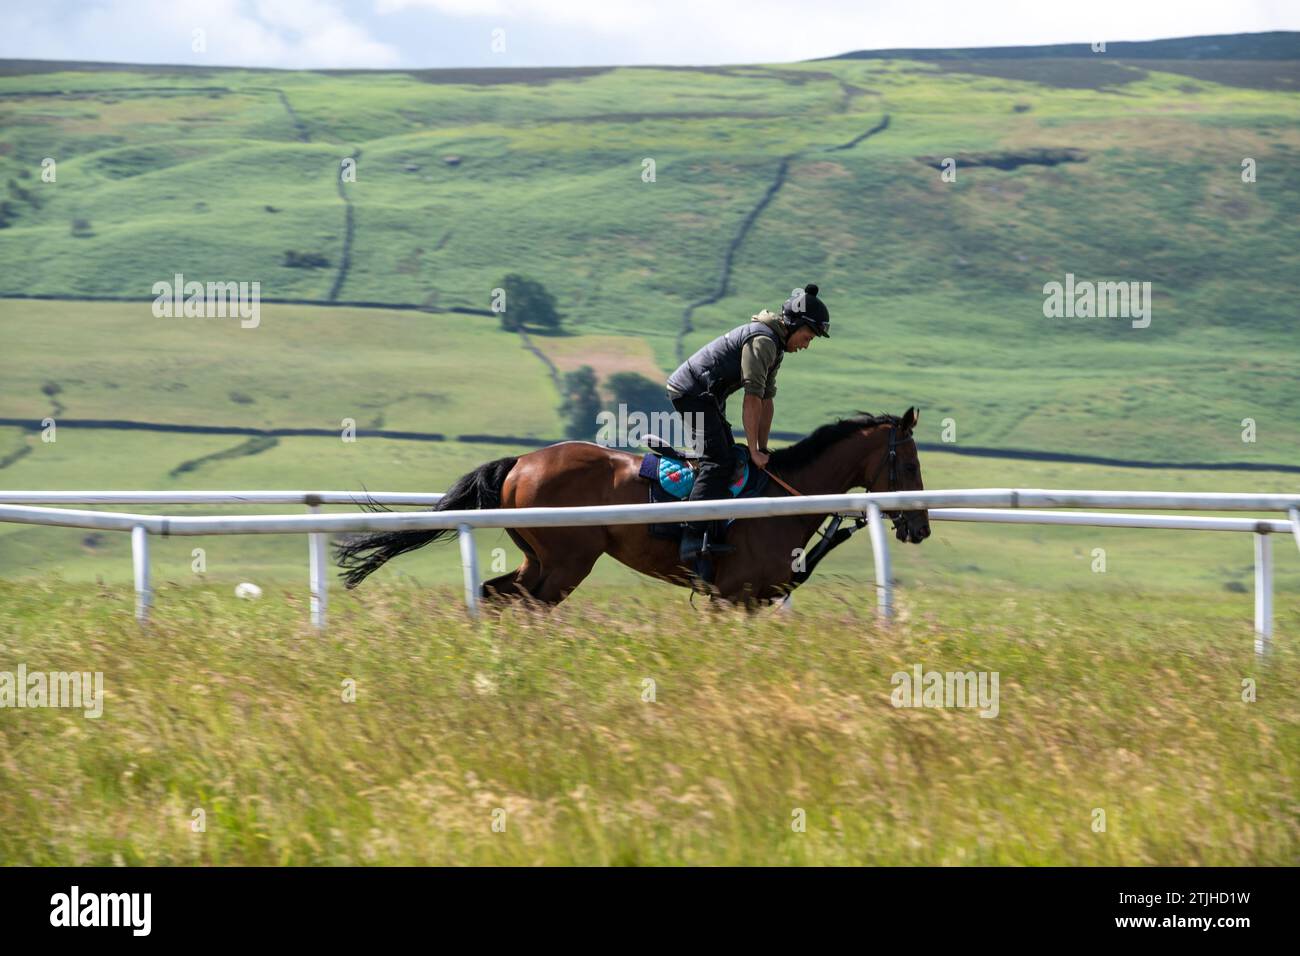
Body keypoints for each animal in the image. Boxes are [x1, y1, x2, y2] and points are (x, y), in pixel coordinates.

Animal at [335, 408, 930, 607]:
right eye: (909, 465)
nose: (920, 527)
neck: (782, 496)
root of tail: (522, 461)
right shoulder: (730, 596)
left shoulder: (754, 600)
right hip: (568, 560)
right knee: (525, 604)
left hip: (540, 558)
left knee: (499, 594)